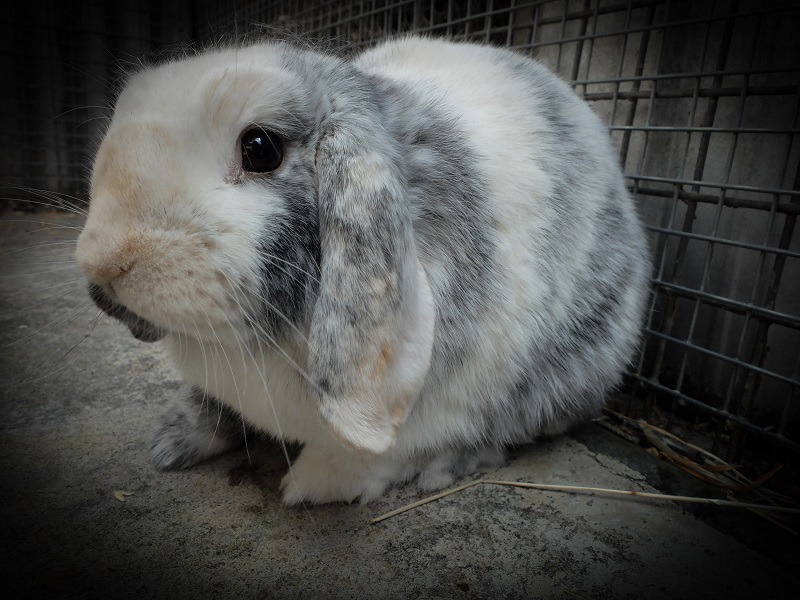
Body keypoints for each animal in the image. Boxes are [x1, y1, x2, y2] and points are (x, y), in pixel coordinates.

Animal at [75, 36, 651, 505]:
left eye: (260, 148)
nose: (104, 260)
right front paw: (172, 441)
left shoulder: (434, 407)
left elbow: (376, 453)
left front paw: (313, 485)